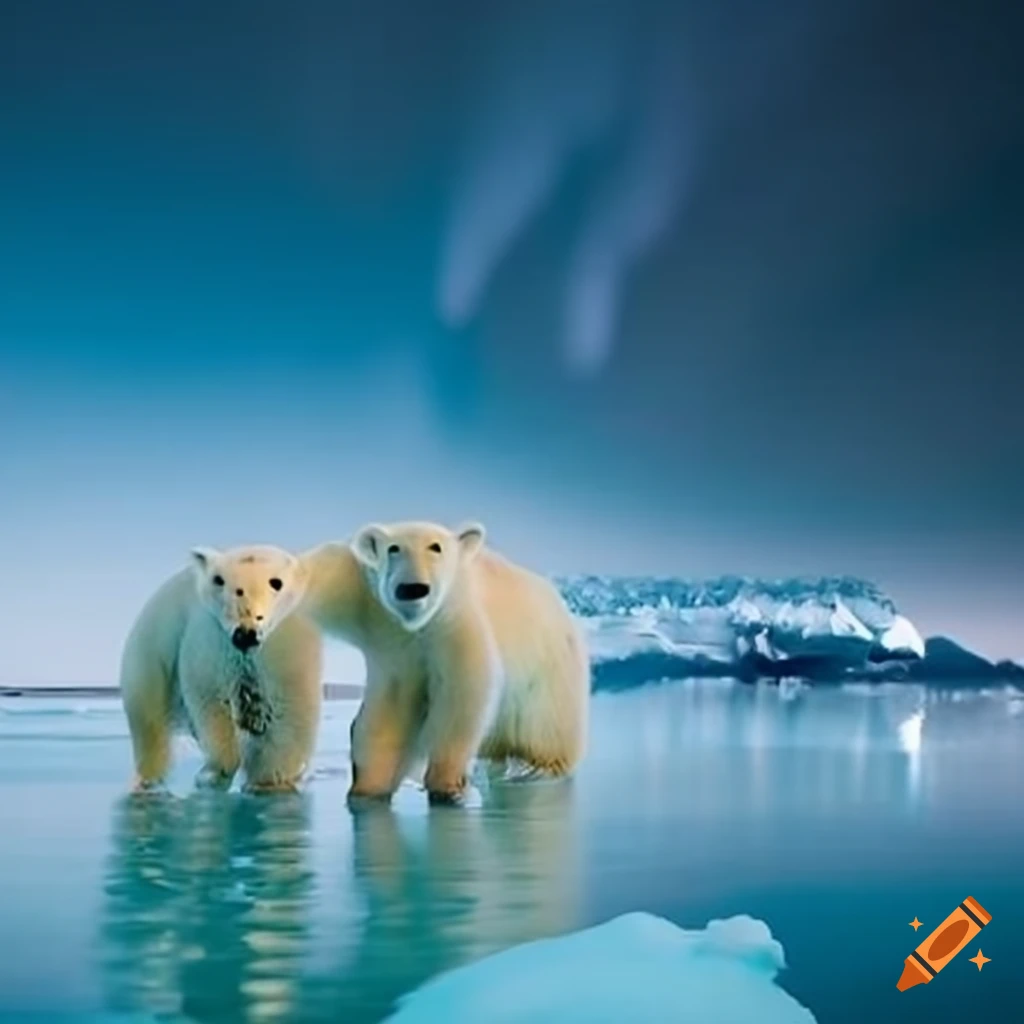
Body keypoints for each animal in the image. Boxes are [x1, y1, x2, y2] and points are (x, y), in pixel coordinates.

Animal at [120, 545, 323, 793]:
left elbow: (288, 712)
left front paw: (267, 782)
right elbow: (212, 702)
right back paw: (146, 781)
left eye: (276, 582)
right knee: (149, 721)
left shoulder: (285, 650)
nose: (245, 633)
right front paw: (214, 774)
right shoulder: (210, 642)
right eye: (219, 580)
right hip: (151, 651)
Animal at [301, 520, 589, 804]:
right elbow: (390, 710)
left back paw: (531, 768)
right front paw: (369, 785)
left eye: (435, 547)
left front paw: (445, 784)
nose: (412, 588)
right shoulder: (377, 617)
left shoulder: (454, 625)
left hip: (546, 680)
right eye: (393, 549)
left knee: (543, 732)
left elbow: (462, 696)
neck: (416, 625)